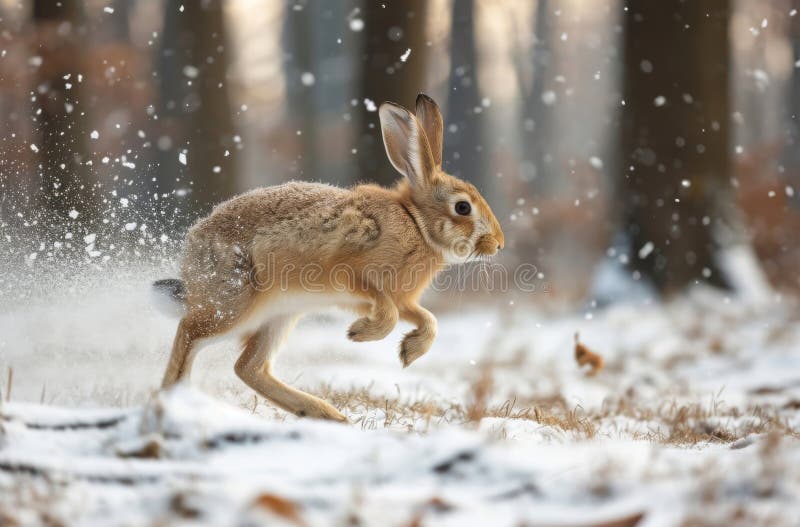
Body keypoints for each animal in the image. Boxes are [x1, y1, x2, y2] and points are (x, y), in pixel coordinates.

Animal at [155, 94, 504, 422]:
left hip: (279, 315)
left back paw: (325, 414)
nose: (498, 244)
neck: (416, 224)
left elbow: (428, 320)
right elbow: (388, 312)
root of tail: (192, 248)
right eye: (462, 207)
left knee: (248, 367)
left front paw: (409, 351)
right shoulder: (353, 277)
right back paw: (175, 400)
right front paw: (360, 333)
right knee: (189, 332)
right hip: (236, 303)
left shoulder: (401, 300)